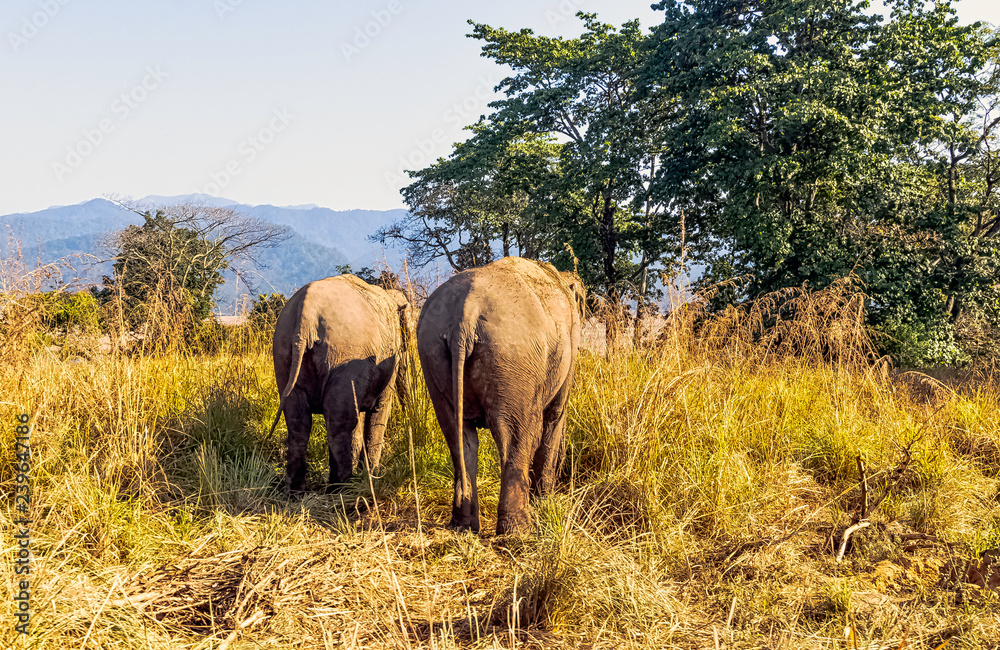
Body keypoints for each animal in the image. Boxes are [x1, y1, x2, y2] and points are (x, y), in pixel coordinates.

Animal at [268, 274, 412, 494]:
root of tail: (306, 314)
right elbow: (379, 409)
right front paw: (371, 475)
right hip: (345, 353)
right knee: (340, 421)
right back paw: (341, 489)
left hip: (283, 352)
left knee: (298, 421)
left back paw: (296, 493)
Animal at [416, 257, 585, 534]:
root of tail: (467, 310)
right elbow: (554, 415)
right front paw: (545, 504)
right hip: (513, 355)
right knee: (513, 436)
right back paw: (518, 531)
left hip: (433, 354)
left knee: (458, 437)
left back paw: (463, 526)